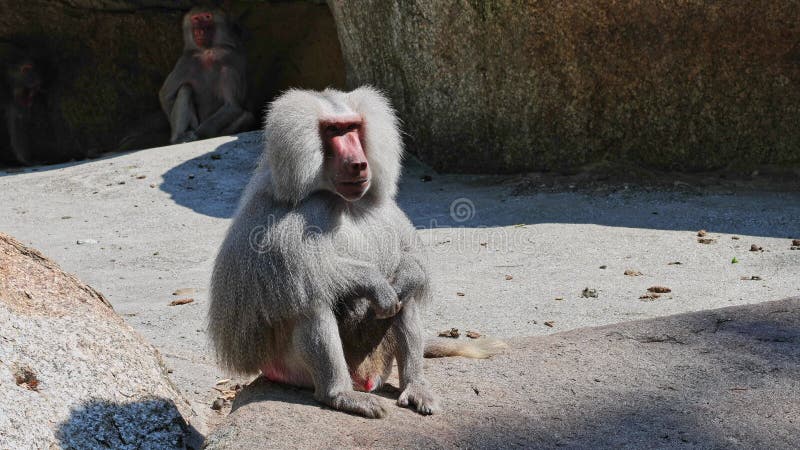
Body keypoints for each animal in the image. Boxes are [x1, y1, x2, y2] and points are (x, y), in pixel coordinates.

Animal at [159, 7, 254, 145]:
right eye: (196, 18)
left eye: (207, 17)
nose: (200, 31)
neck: (208, 51)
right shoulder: (186, 61)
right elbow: (166, 96)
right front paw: (183, 135)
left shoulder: (230, 64)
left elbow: (232, 106)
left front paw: (198, 135)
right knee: (185, 89)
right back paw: (179, 137)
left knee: (247, 116)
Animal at [208, 87, 504, 419]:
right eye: (333, 130)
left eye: (353, 127)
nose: (359, 164)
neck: (337, 198)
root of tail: (365, 379)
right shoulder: (274, 221)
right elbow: (305, 271)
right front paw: (375, 284)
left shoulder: (385, 210)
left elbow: (410, 262)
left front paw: (400, 280)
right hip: (290, 369)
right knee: (309, 298)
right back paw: (341, 395)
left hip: (380, 356)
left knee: (406, 298)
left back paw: (415, 387)